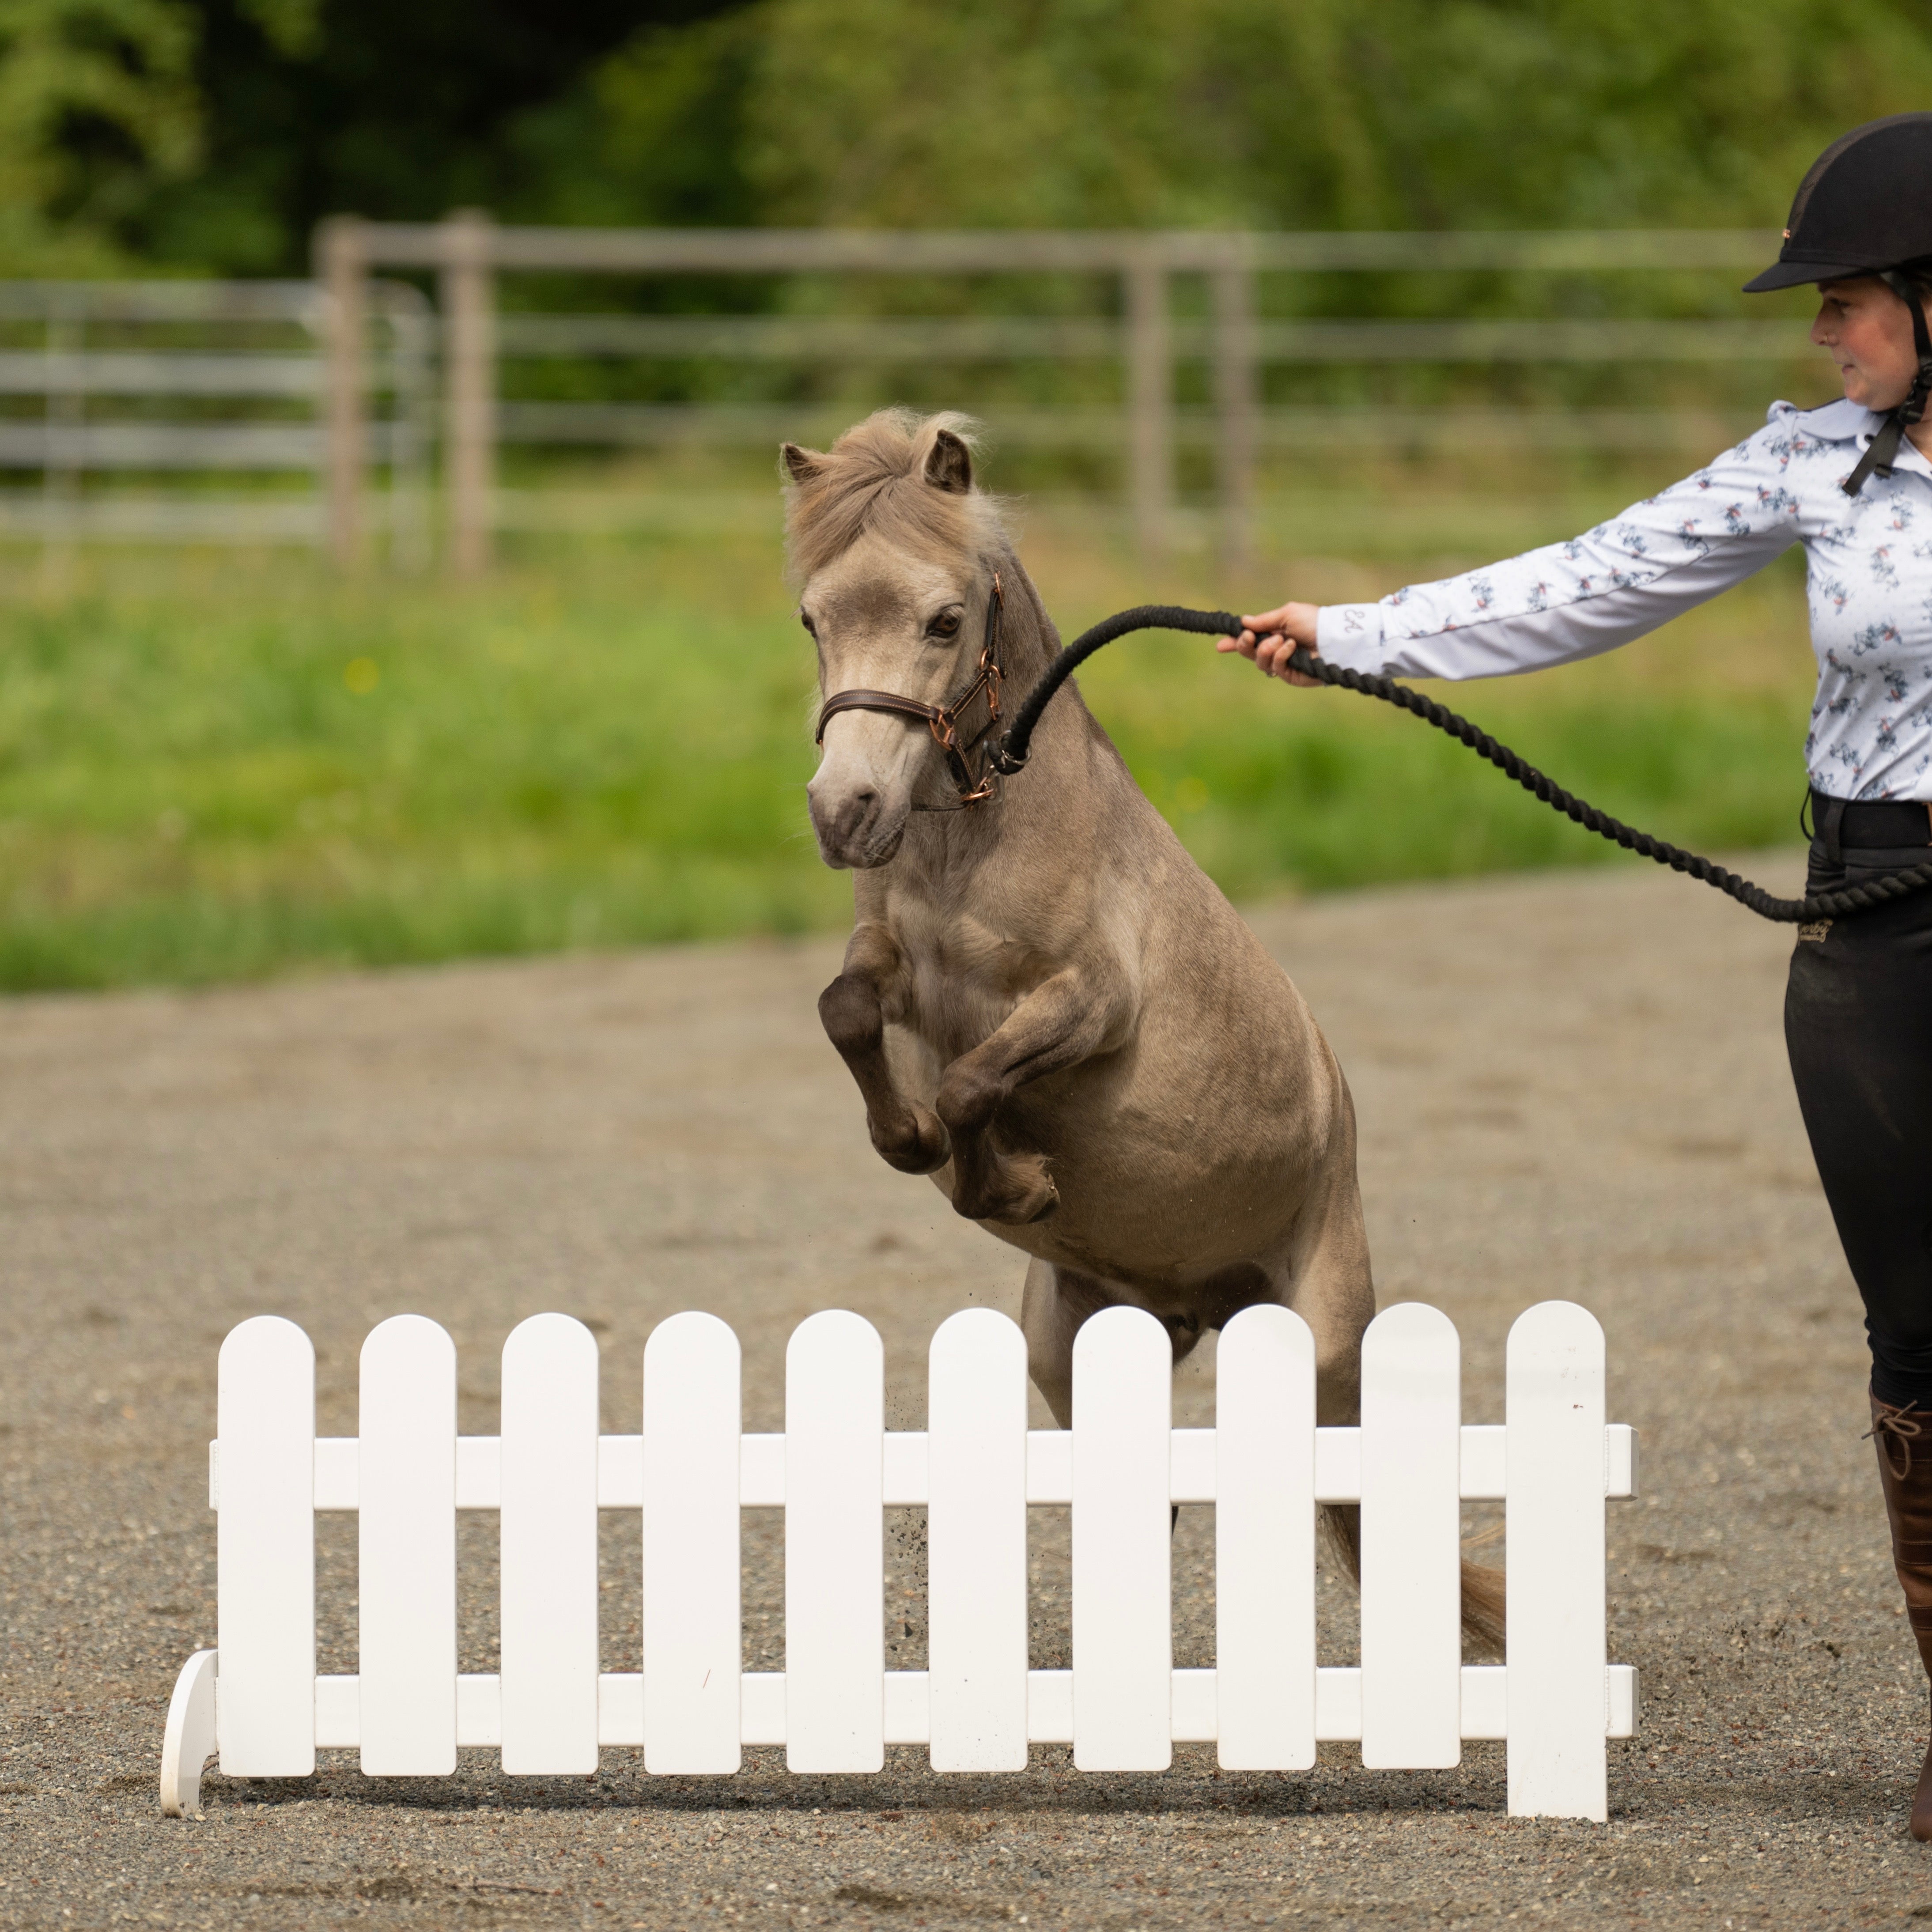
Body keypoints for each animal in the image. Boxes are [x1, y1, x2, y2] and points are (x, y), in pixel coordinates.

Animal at [785, 408, 1503, 1649]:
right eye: (813, 618)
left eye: (943, 619)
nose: (845, 814)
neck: (979, 836)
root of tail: (1202, 1305)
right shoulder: (894, 973)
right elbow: (850, 1016)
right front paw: (922, 1145)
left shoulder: (1091, 1003)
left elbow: (975, 1087)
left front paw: (1015, 1183)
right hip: (1078, 1346)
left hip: (1319, 1349)